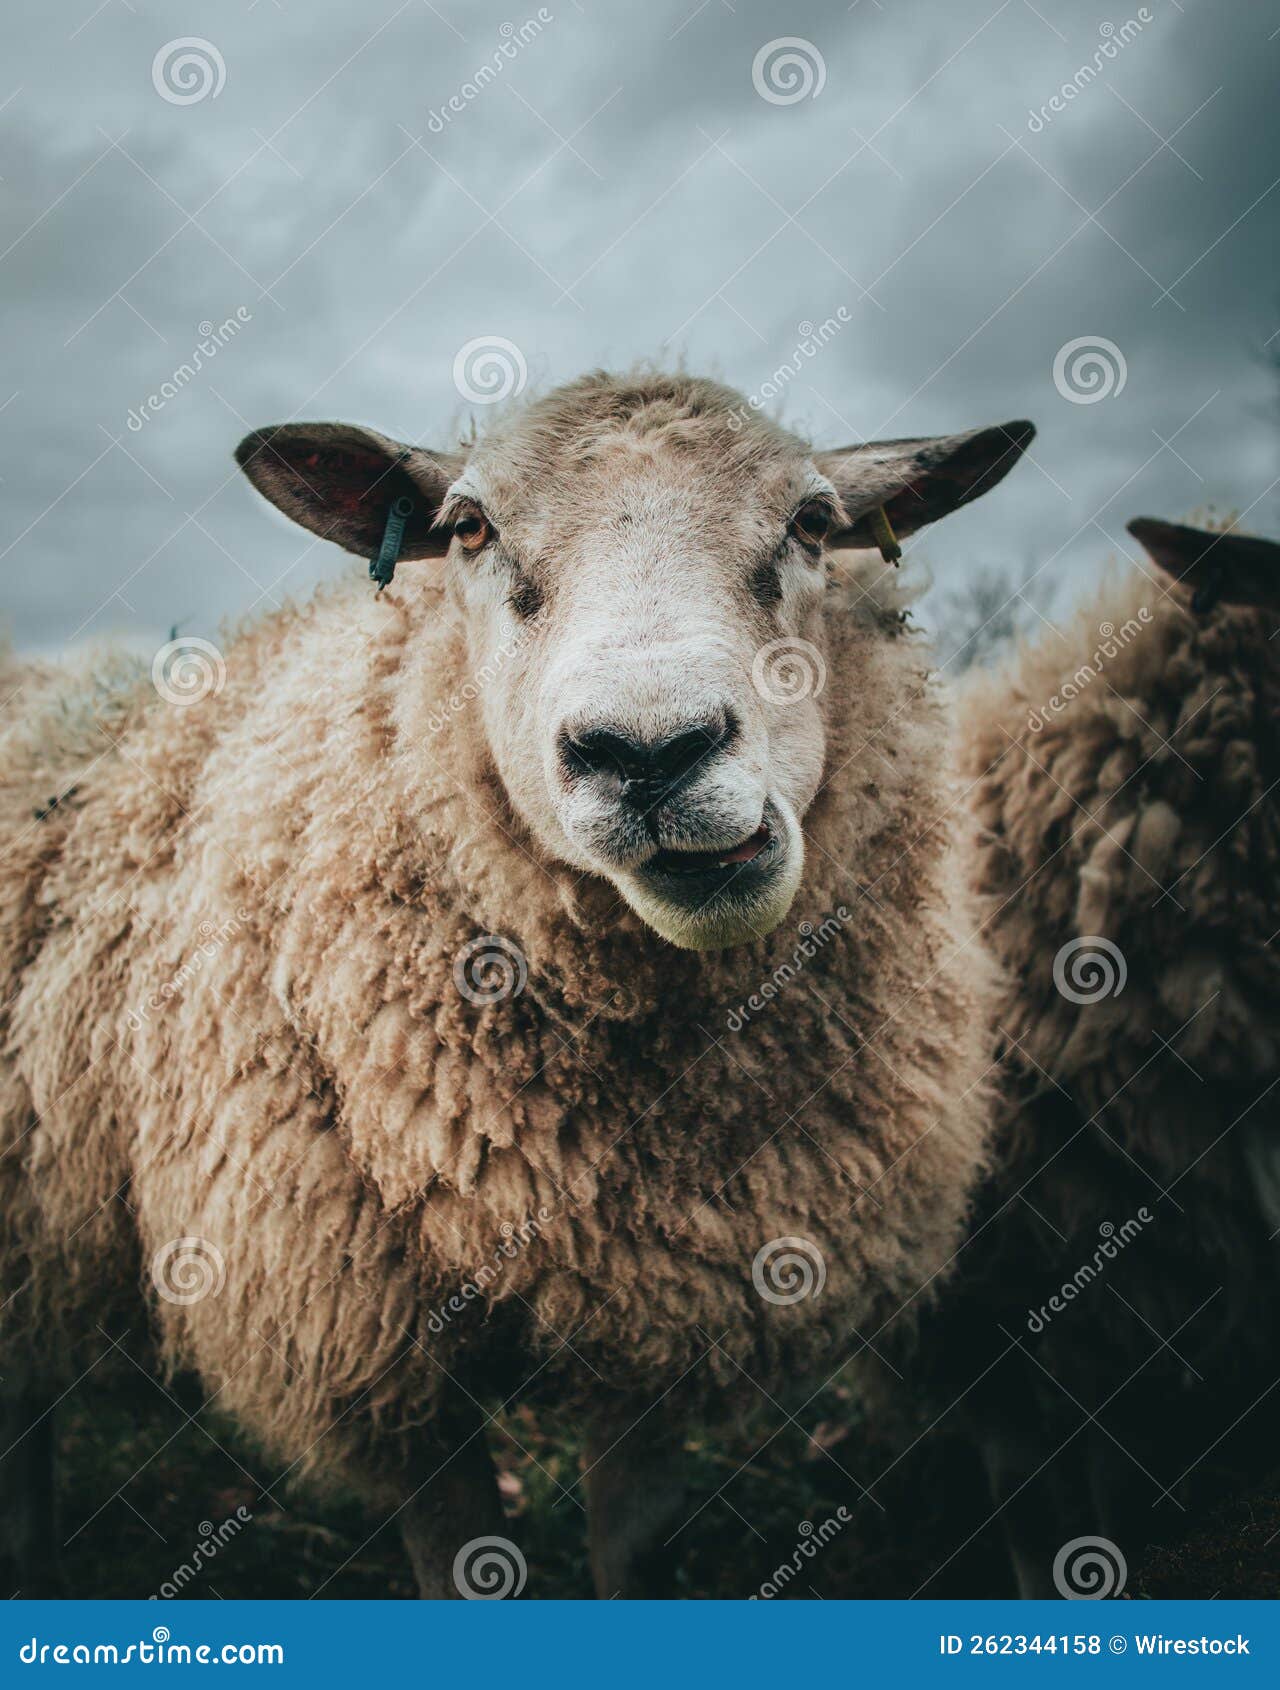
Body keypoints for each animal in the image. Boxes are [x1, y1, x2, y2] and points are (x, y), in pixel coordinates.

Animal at [0, 371, 1033, 1598]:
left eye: (816, 522)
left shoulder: (654, 1314)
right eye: (467, 529)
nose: (648, 753)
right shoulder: (377, 1359)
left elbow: (634, 1549)